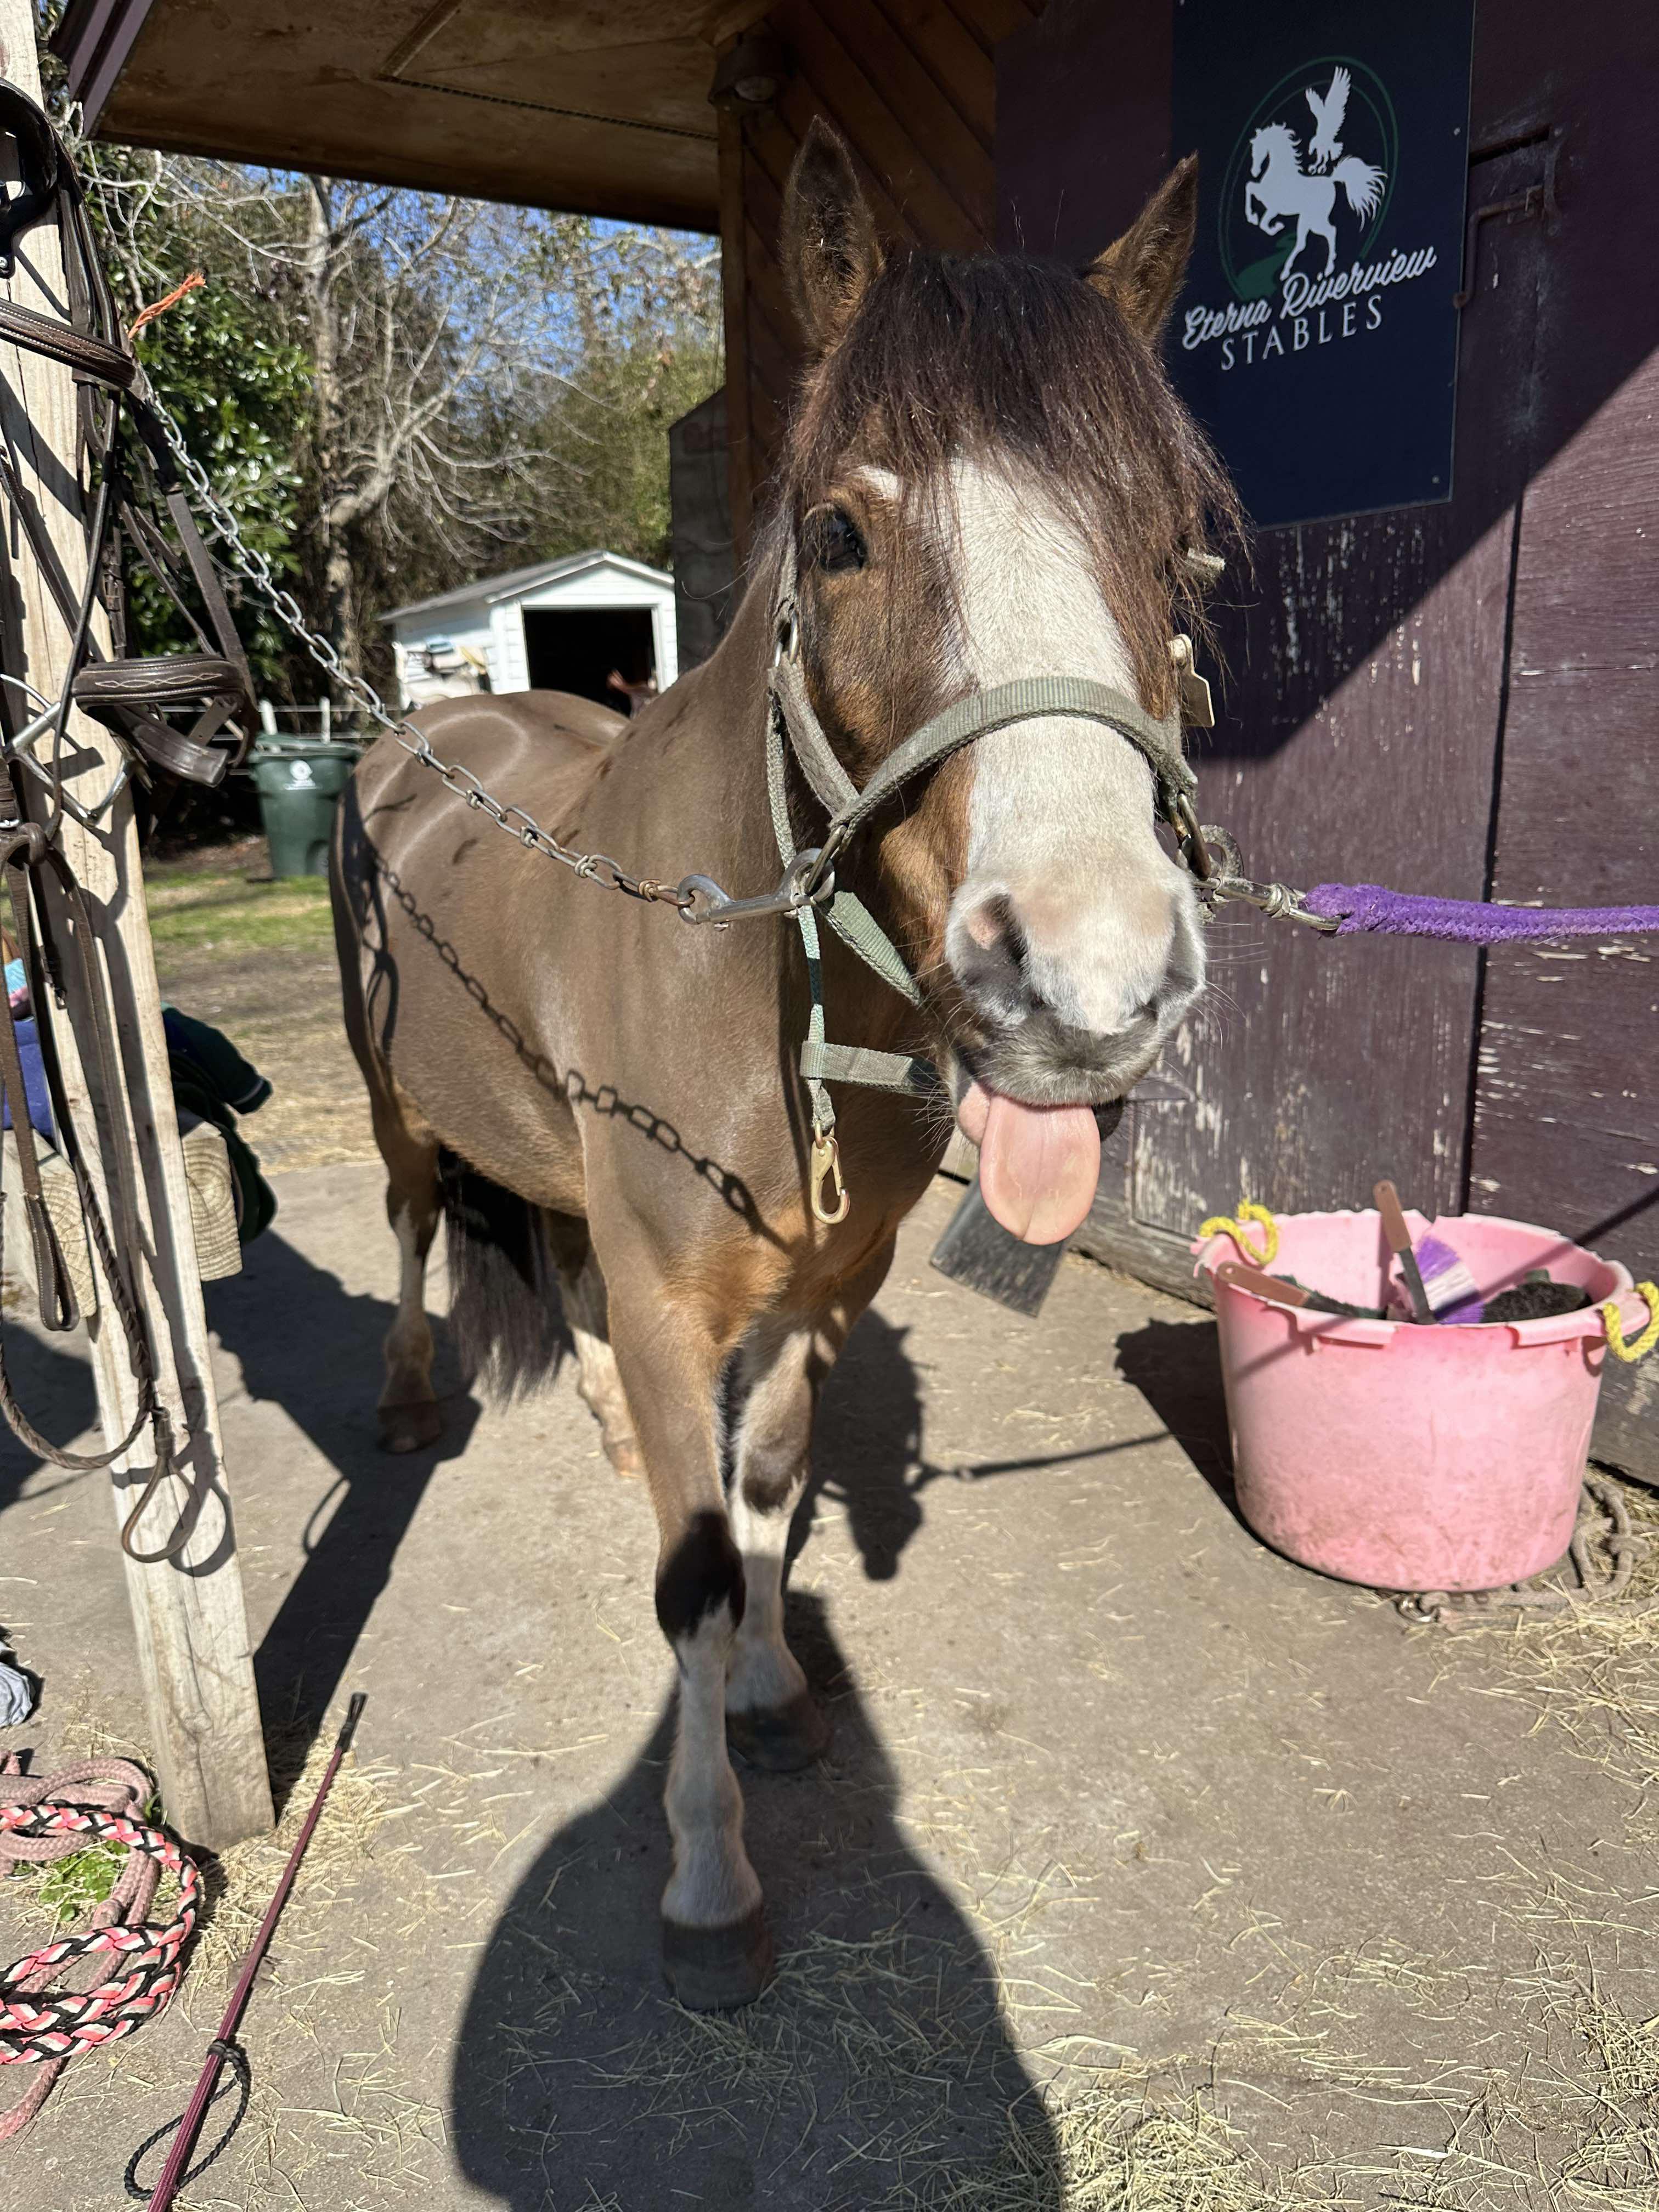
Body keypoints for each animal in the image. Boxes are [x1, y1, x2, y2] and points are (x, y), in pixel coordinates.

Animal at [331, 122, 1235, 2010]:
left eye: (1181, 554)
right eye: (838, 534)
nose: (1090, 978)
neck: (762, 995)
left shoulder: (826, 1281)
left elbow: (759, 1489)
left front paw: (771, 1685)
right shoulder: (680, 1285)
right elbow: (686, 1580)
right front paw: (706, 1872)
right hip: (399, 1113)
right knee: (412, 1225)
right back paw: (408, 1392)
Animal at [1244, 123, 1385, 281]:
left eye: (1258, 149)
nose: (1255, 172)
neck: (1281, 174)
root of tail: (1331, 180)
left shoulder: (1274, 208)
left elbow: (1262, 219)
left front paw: (1273, 226)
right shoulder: (1267, 201)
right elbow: (1250, 187)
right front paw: (1256, 219)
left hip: (1313, 219)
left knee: (1329, 232)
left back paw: (1326, 268)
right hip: (1308, 220)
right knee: (1305, 242)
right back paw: (1290, 271)